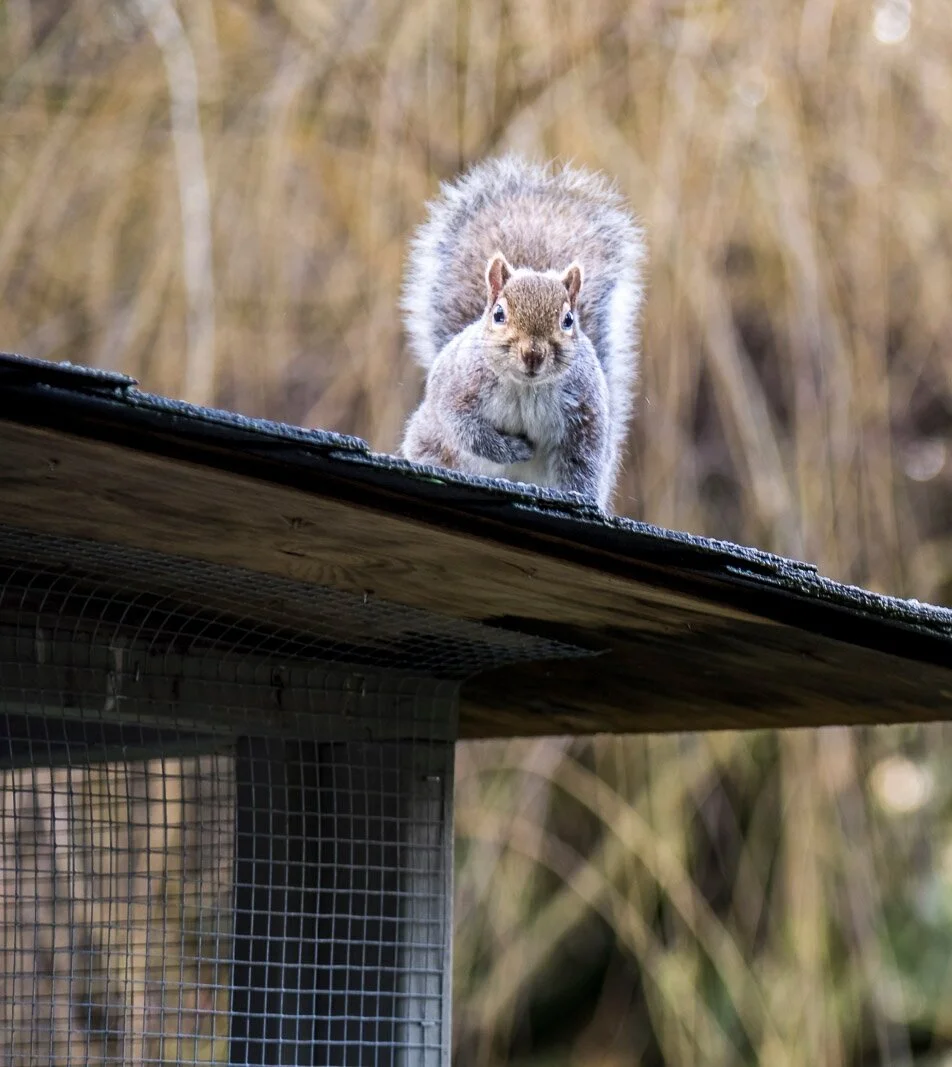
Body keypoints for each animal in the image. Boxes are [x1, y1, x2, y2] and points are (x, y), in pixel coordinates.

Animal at [399, 155, 646, 510]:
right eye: (499, 314)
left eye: (568, 320)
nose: (533, 354)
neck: (525, 387)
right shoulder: (460, 389)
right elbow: (468, 430)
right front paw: (514, 449)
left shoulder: (586, 414)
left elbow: (583, 463)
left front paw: (580, 498)